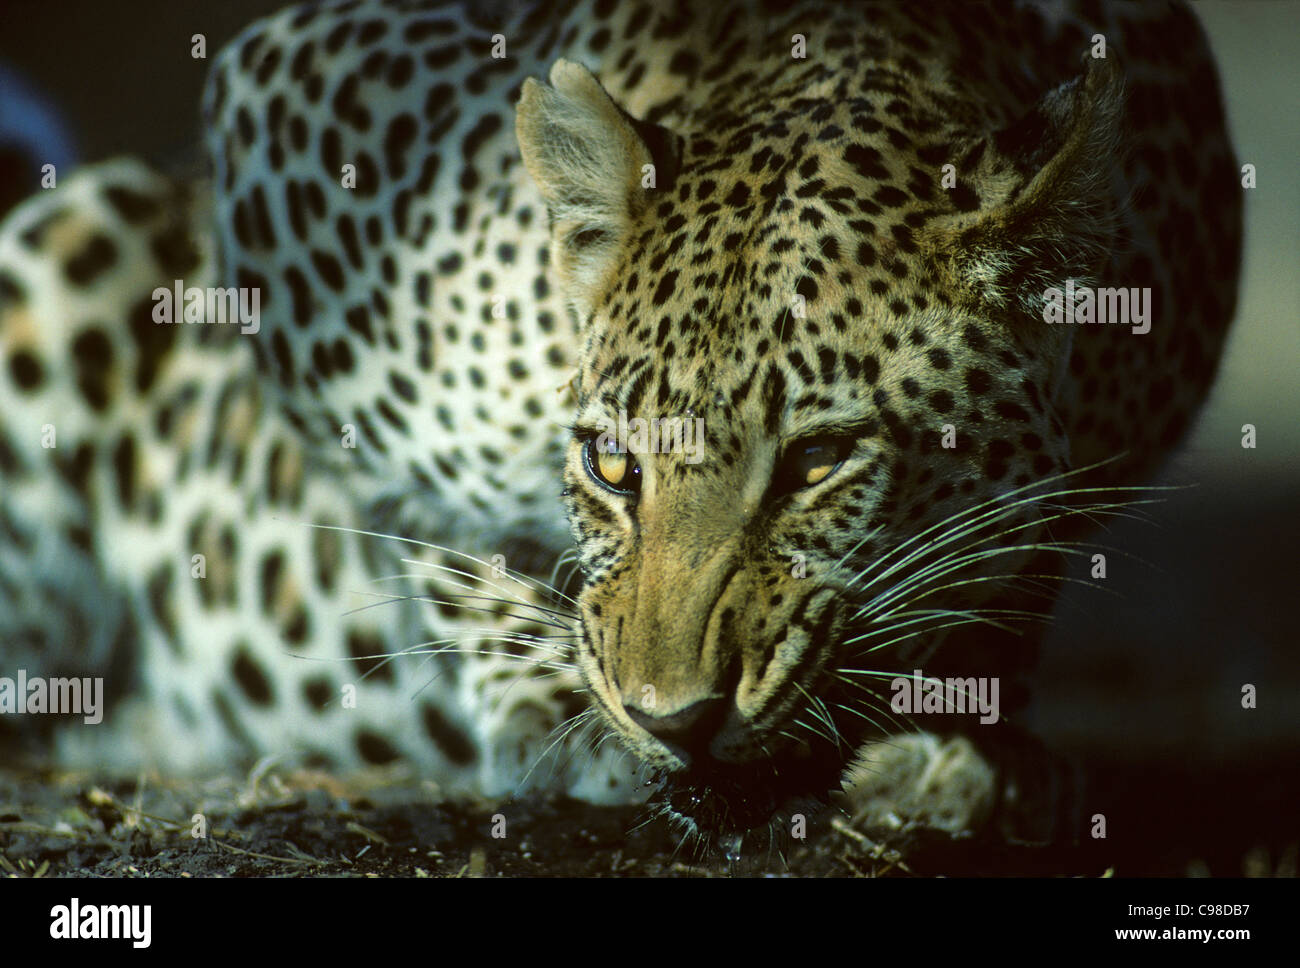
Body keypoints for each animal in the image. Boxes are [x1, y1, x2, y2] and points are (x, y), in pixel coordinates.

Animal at [0, 0, 1241, 858]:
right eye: (609, 461)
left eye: (817, 461)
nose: (674, 719)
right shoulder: (289, 129)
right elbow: (438, 533)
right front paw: (564, 711)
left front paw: (967, 738)